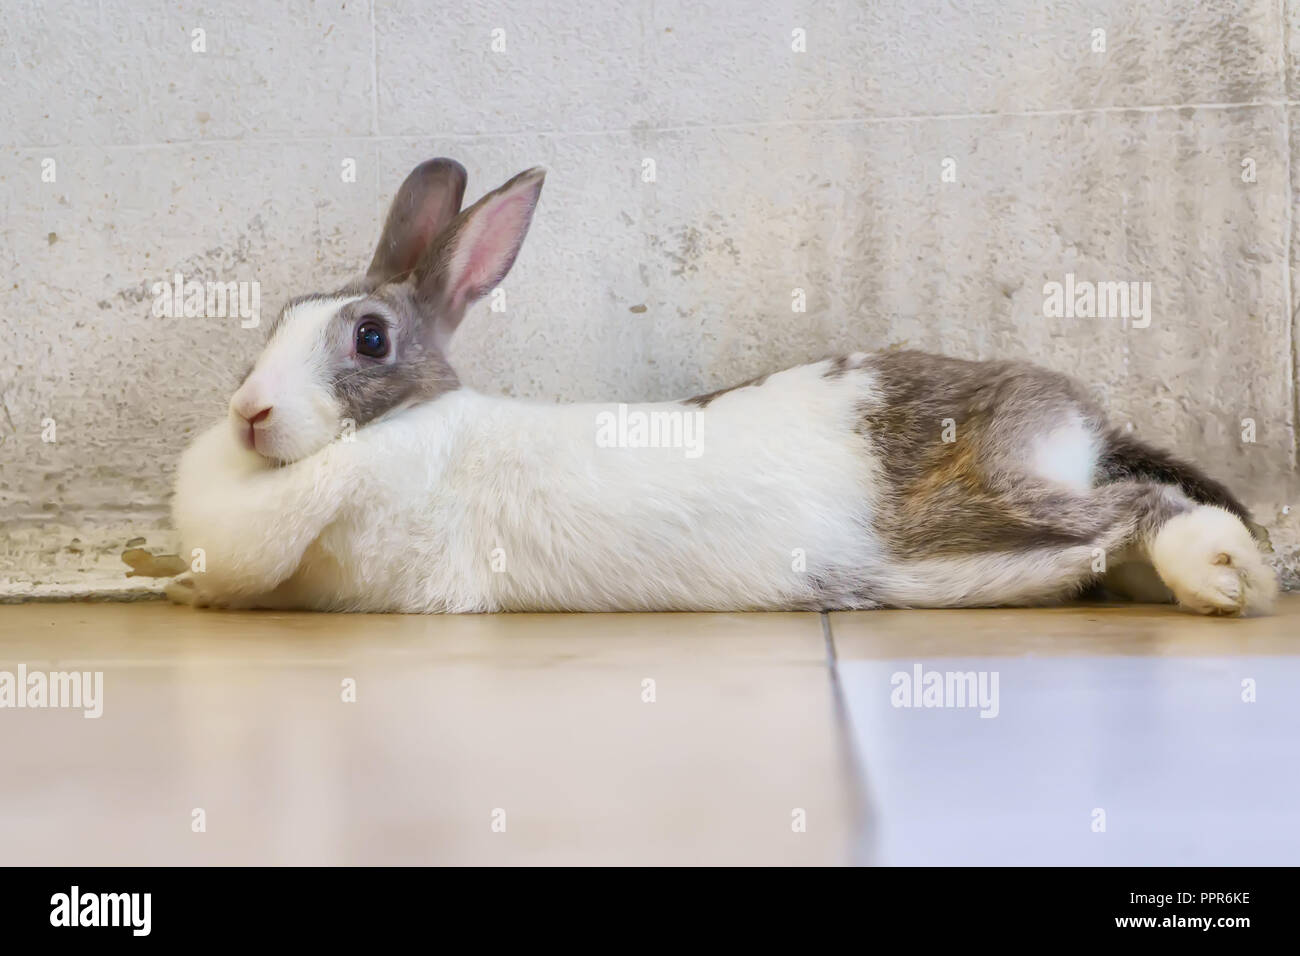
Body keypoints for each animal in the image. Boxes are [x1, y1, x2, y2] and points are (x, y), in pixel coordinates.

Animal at [168, 158, 1278, 616]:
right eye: (275, 320)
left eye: (367, 337)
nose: (248, 413)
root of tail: (1076, 419)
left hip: (979, 496)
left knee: (1142, 502)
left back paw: (1232, 577)